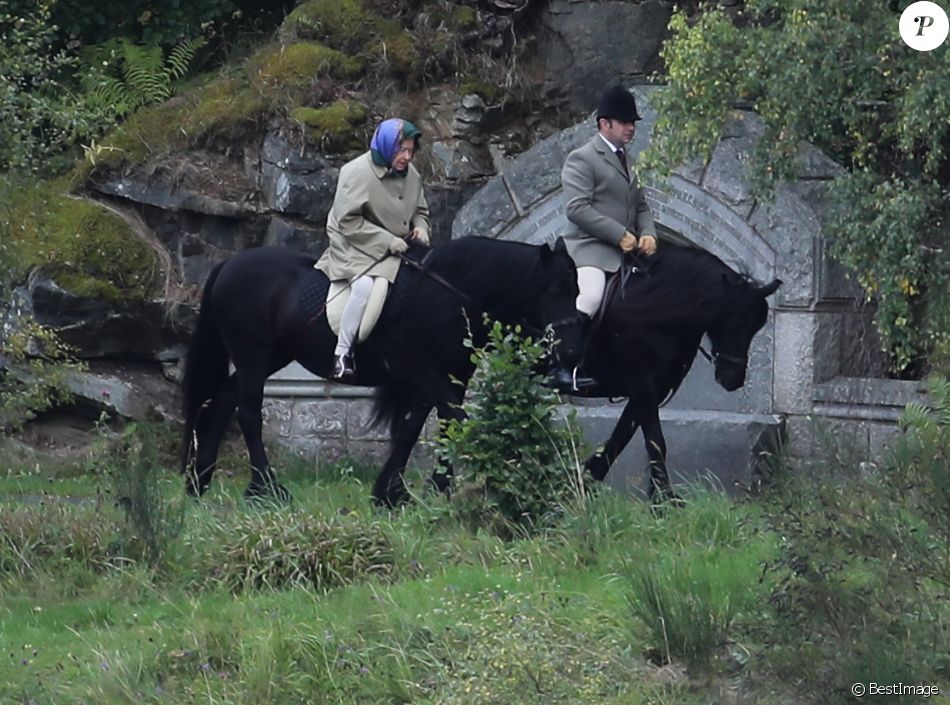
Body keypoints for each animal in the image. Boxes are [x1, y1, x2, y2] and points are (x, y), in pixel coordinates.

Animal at [180, 237, 585, 507]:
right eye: (554, 289)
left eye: (577, 290)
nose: (571, 355)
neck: (449, 297)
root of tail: (228, 265)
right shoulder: (426, 374)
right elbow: (456, 421)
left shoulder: (447, 377)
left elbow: (421, 428)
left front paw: (396, 492)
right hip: (252, 355)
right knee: (248, 413)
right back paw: (267, 489)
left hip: (271, 357)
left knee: (223, 401)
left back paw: (199, 484)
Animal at [574, 241, 781, 500]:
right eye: (730, 322)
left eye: (755, 328)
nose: (734, 379)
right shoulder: (643, 385)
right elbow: (655, 442)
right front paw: (665, 500)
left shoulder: (652, 388)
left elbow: (621, 438)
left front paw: (588, 482)